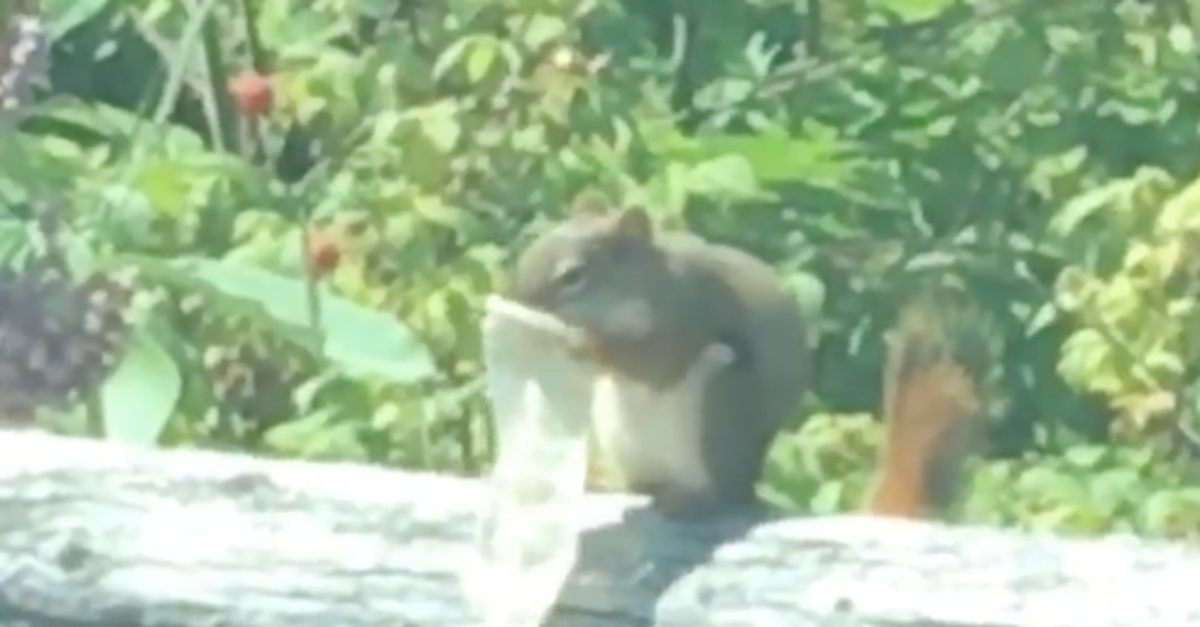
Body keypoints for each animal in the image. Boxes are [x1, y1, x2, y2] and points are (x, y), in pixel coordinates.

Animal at [511, 190, 810, 519]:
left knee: (723, 493)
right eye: (532, 248)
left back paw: (692, 501)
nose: (519, 300)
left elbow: (659, 366)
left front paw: (584, 342)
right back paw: (608, 481)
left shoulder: (688, 312)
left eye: (572, 276)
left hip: (724, 404)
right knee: (639, 484)